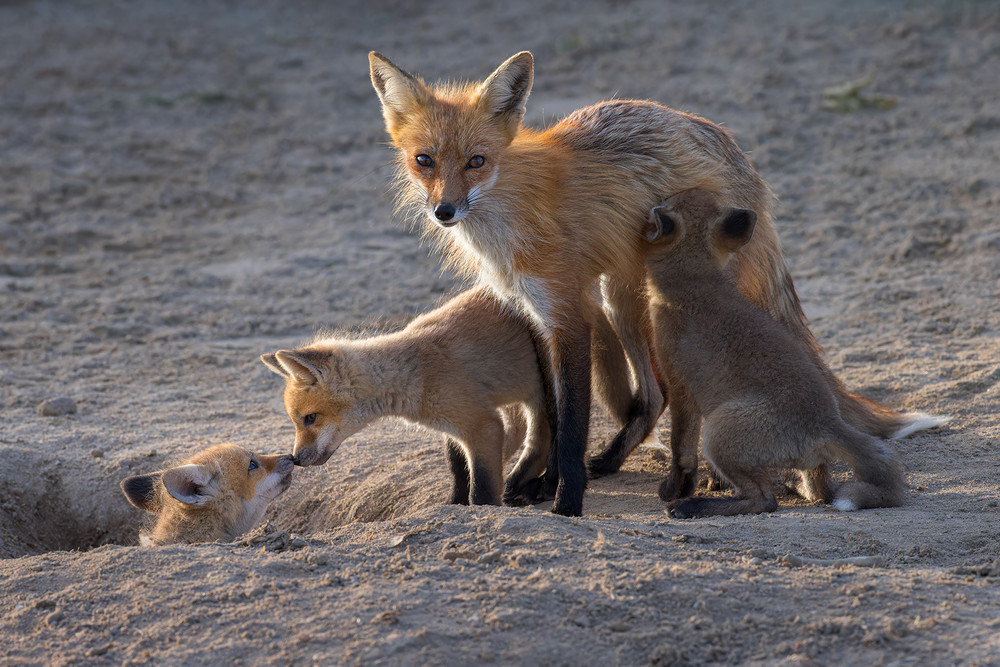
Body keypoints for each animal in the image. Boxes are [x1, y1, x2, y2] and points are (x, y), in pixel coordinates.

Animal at [261, 287, 634, 507]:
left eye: (309, 418)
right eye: (297, 422)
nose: (295, 459)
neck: (417, 372)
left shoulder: (482, 425)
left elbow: (481, 488)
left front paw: (483, 508)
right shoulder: (458, 429)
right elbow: (458, 471)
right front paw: (454, 504)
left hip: (541, 388)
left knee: (545, 436)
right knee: (534, 438)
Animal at [645, 190, 906, 517]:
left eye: (669, 200)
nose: (650, 206)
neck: (696, 279)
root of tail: (828, 423)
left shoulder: (679, 386)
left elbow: (681, 450)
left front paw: (674, 489)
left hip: (719, 433)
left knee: (764, 501)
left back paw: (693, 506)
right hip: (794, 461)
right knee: (820, 492)